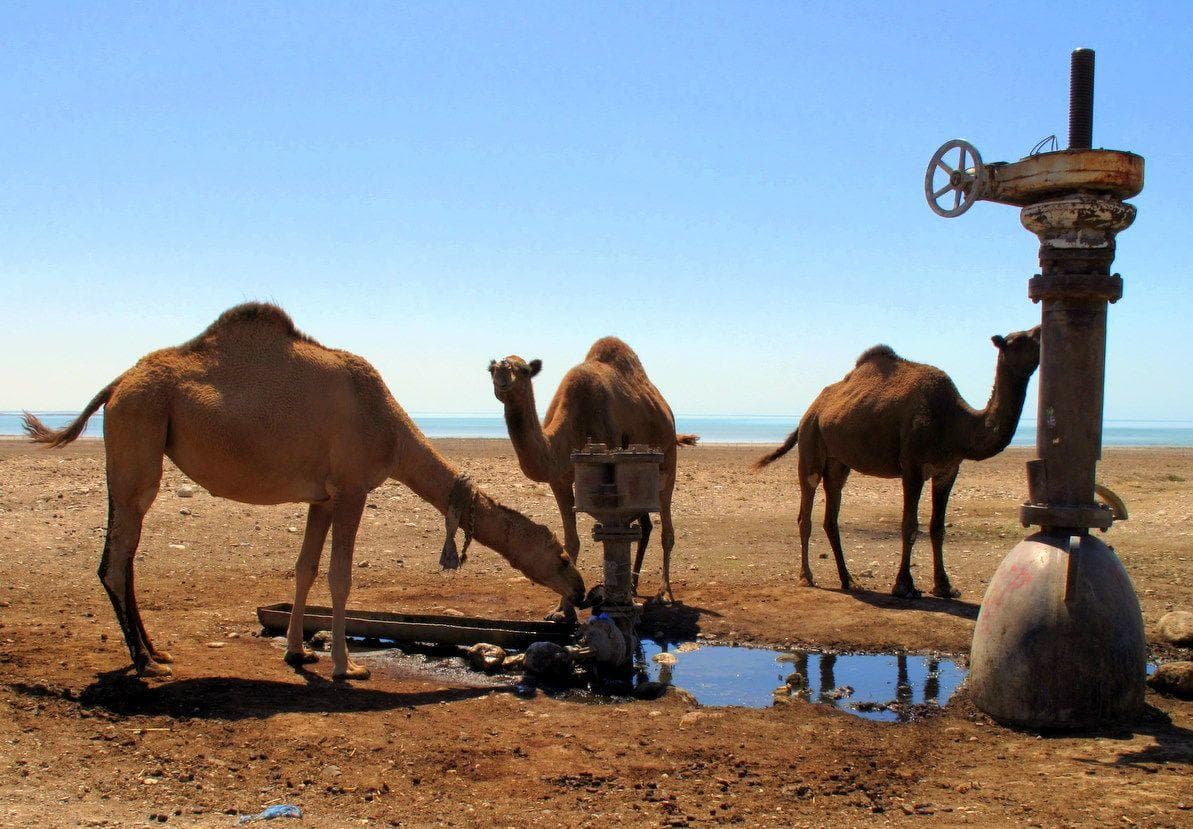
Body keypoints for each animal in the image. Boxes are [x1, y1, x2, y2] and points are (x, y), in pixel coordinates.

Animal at [23, 303, 585, 681]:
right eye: (559, 555)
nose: (581, 591)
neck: (391, 428)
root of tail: (115, 384)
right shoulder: (354, 487)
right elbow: (339, 577)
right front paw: (345, 666)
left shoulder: (323, 496)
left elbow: (305, 569)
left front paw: (297, 651)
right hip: (139, 428)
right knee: (116, 557)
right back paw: (145, 662)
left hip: (133, 438)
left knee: (126, 554)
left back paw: (156, 651)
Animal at [488, 337, 697, 619]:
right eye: (491, 369)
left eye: (523, 370)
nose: (502, 374)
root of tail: (666, 410)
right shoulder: (560, 480)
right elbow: (571, 541)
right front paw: (561, 609)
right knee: (645, 526)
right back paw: (633, 585)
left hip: (667, 465)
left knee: (666, 529)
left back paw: (663, 593)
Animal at [754, 326, 1040, 598]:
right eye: (1022, 339)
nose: (1042, 331)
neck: (955, 421)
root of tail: (810, 411)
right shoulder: (913, 466)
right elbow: (910, 525)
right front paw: (904, 586)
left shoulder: (948, 470)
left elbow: (937, 528)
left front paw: (945, 587)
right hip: (811, 440)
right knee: (806, 508)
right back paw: (807, 577)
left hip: (838, 462)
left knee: (831, 515)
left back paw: (849, 580)